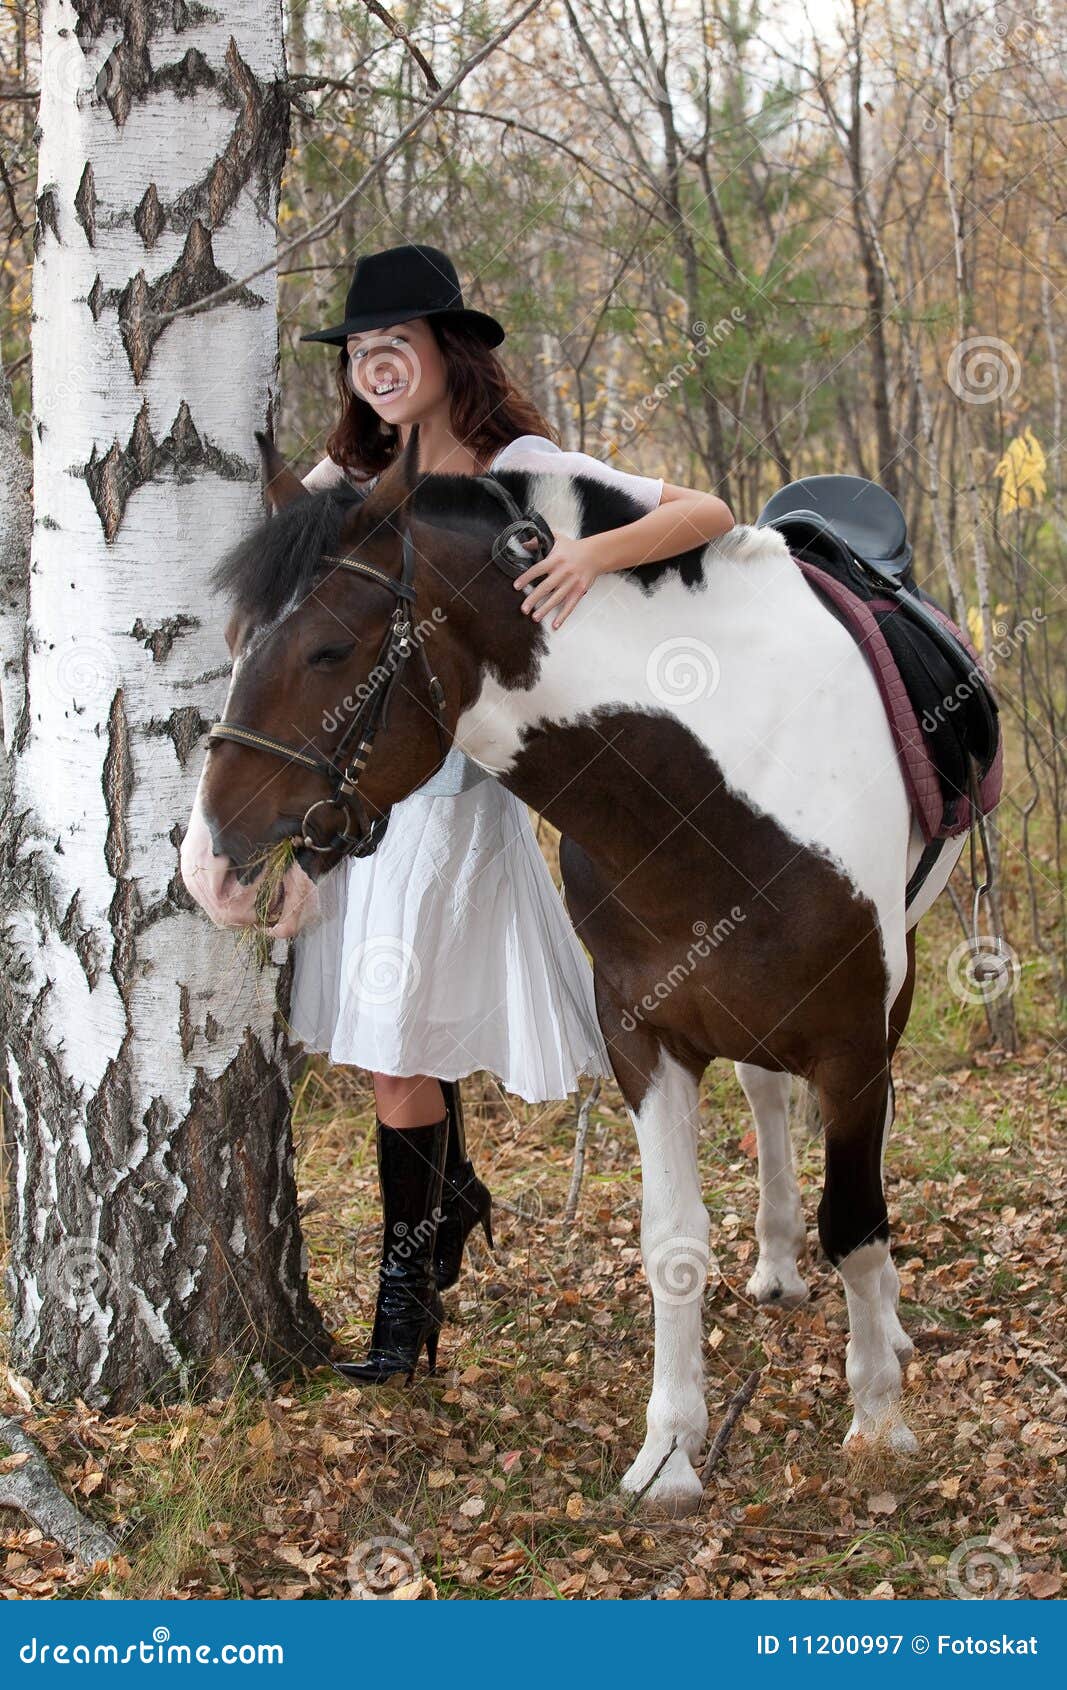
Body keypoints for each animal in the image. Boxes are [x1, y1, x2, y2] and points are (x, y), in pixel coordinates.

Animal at [181, 429, 970, 1516]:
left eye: (329, 651)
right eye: (233, 641)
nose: (208, 867)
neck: (723, 790)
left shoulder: (850, 1034)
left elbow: (854, 1220)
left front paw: (879, 1420)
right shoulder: (644, 1036)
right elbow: (671, 1242)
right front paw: (668, 1452)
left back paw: (882, 1326)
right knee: (766, 1096)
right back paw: (775, 1264)